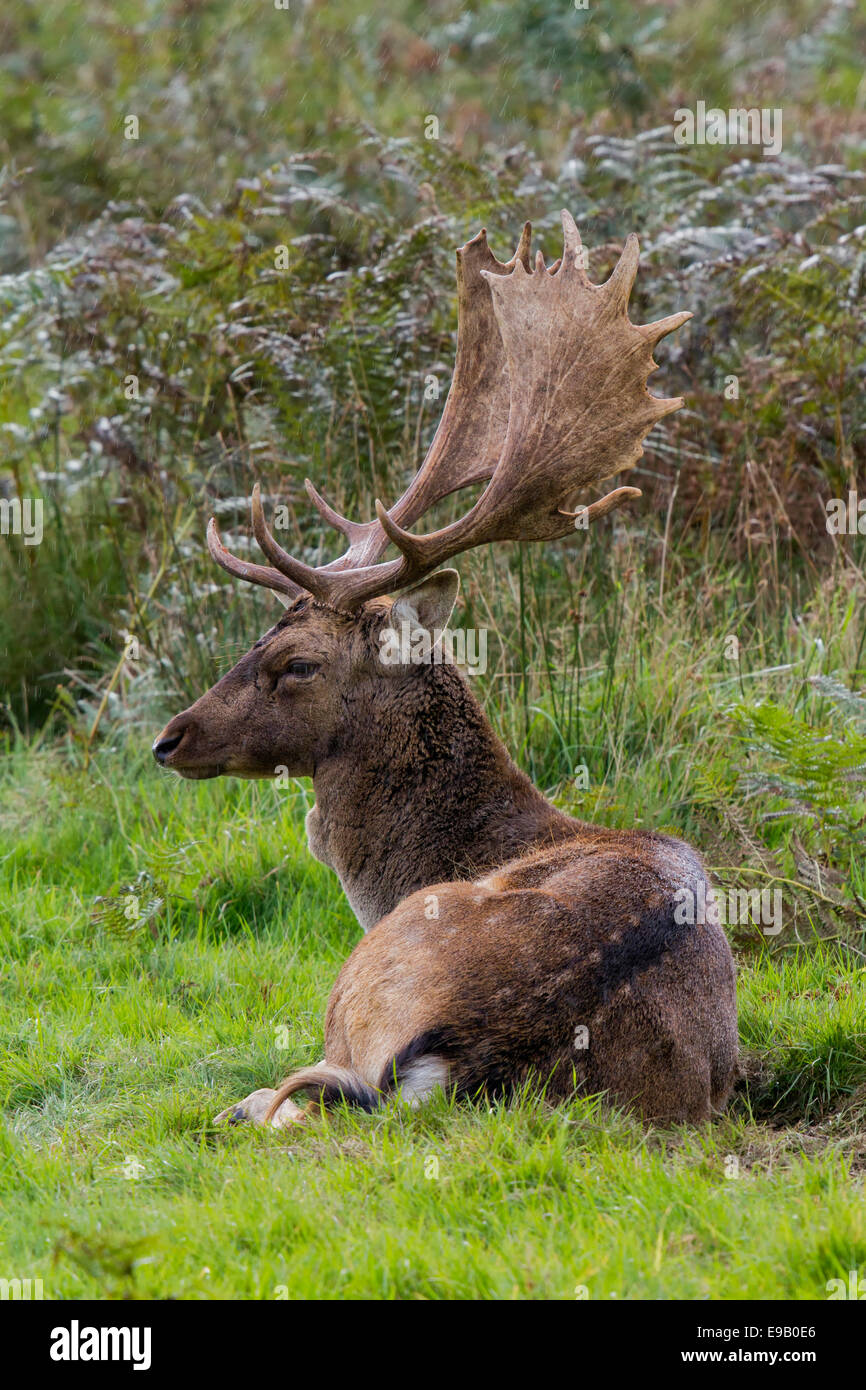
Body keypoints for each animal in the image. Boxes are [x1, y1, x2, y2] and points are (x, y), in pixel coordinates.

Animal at [153, 212, 738, 1130]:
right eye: (255, 637)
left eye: (297, 663)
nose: (170, 740)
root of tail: (471, 1041)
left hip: (359, 989)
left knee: (289, 1102)